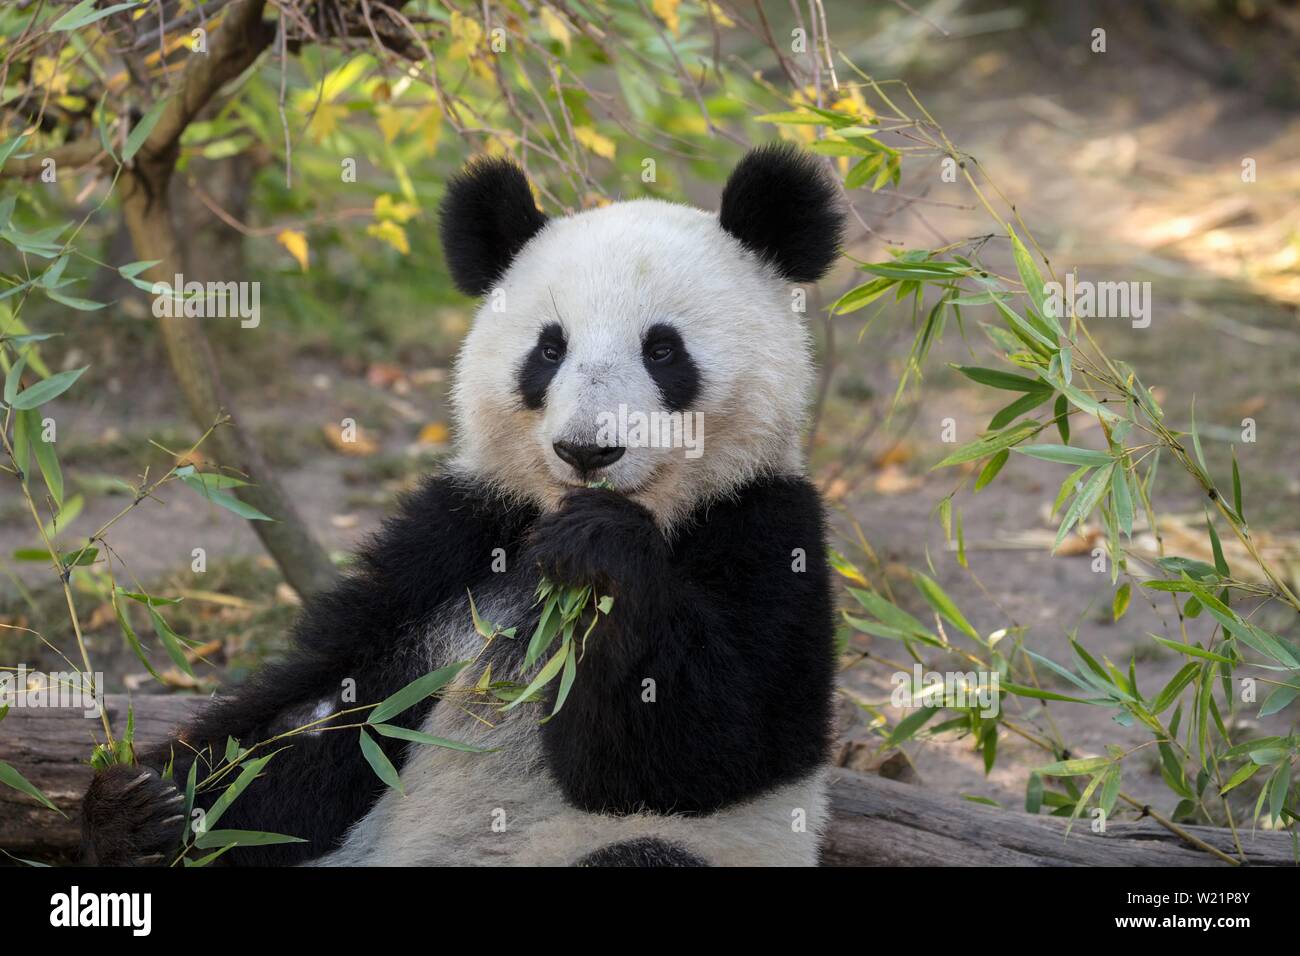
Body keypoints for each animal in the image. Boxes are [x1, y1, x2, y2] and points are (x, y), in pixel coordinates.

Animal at [81, 143, 844, 867]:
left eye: (663, 351)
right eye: (549, 350)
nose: (586, 451)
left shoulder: (765, 521)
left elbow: (709, 742)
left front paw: (602, 555)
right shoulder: (461, 534)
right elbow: (325, 714)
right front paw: (137, 809)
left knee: (643, 853)